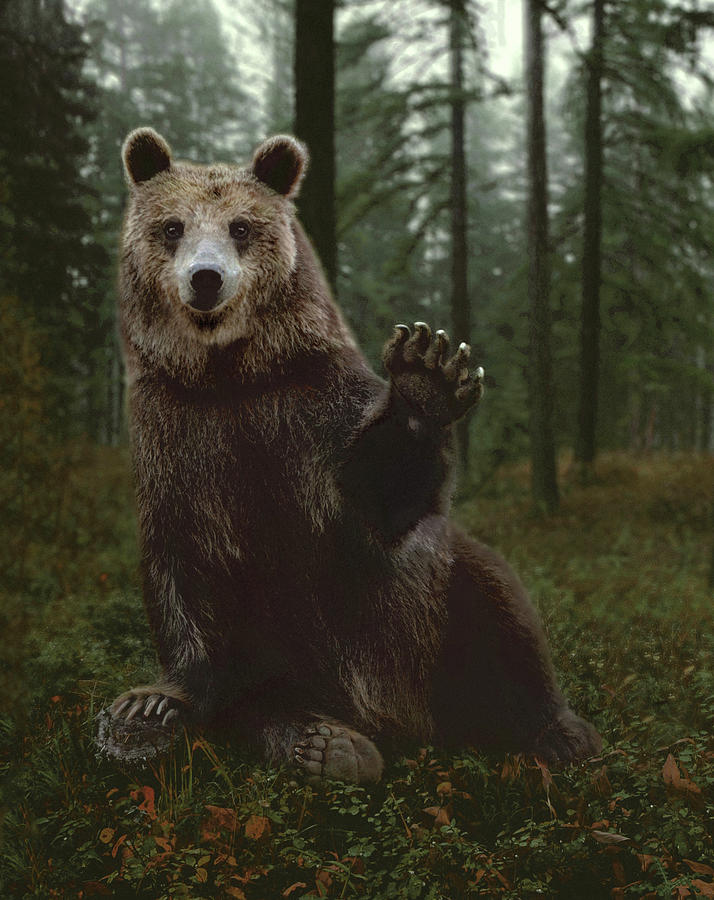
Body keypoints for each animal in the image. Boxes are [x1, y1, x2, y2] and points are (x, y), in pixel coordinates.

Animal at [101, 127, 601, 781]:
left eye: (241, 226)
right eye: (172, 227)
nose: (206, 278)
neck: (229, 377)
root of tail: (401, 720)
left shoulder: (314, 418)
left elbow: (381, 500)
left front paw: (426, 373)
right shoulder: (177, 438)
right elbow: (184, 567)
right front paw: (155, 701)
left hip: (425, 627)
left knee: (494, 601)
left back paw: (559, 732)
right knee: (265, 693)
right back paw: (326, 745)